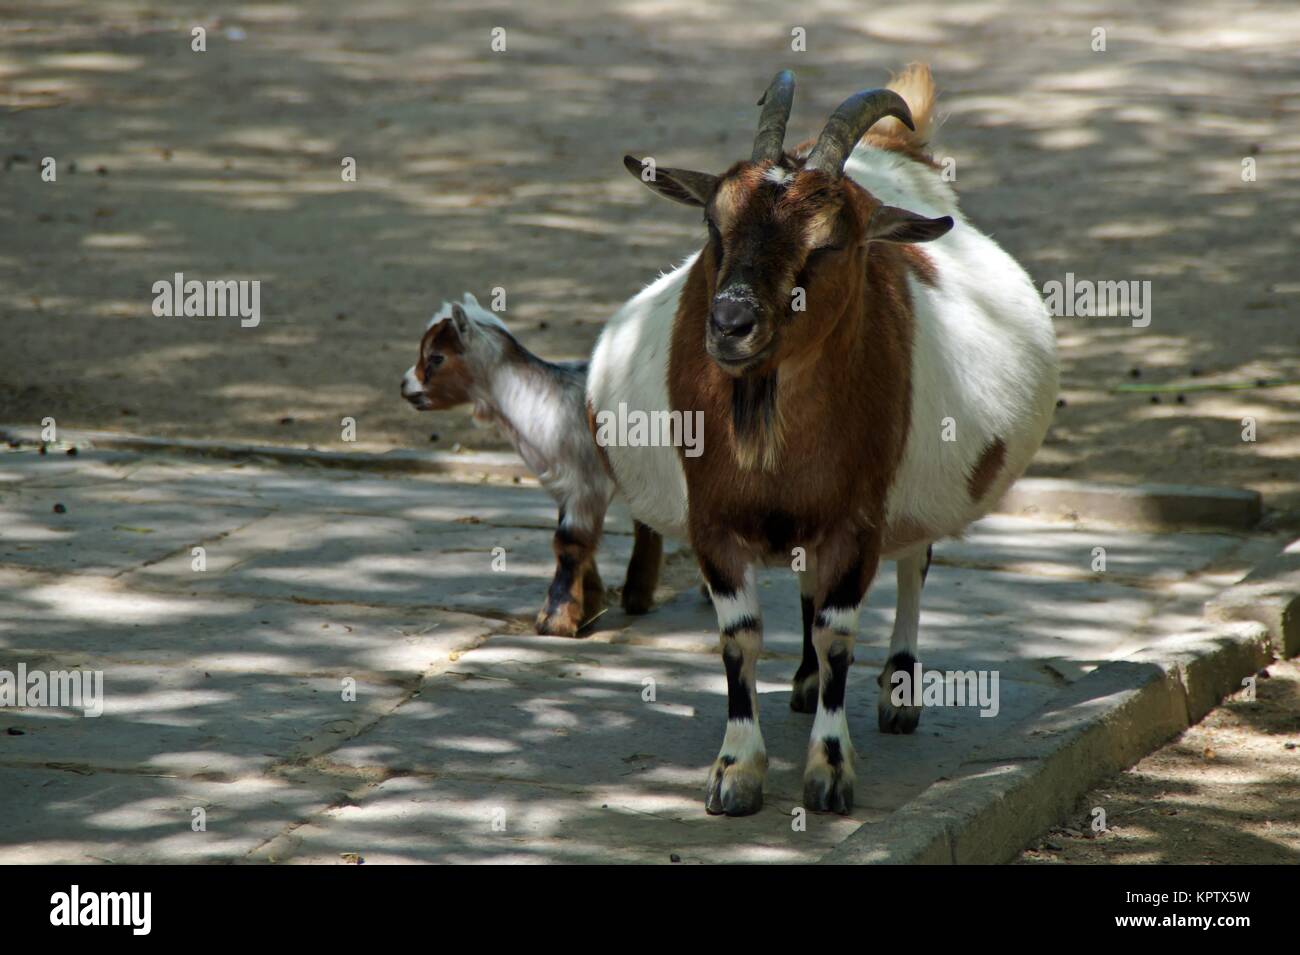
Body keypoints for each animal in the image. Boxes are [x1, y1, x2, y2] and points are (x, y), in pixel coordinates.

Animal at [401, 293, 664, 636]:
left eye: (436, 357)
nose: (405, 386)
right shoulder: (563, 484)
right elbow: (576, 542)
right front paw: (589, 609)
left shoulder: (586, 483)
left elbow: (569, 541)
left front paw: (556, 620)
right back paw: (638, 597)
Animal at [587, 65, 1059, 816]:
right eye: (712, 223)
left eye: (830, 242)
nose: (730, 324)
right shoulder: (712, 521)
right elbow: (740, 637)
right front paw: (736, 771)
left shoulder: (857, 520)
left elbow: (839, 632)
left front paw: (831, 771)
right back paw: (807, 685)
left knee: (915, 563)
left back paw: (899, 691)